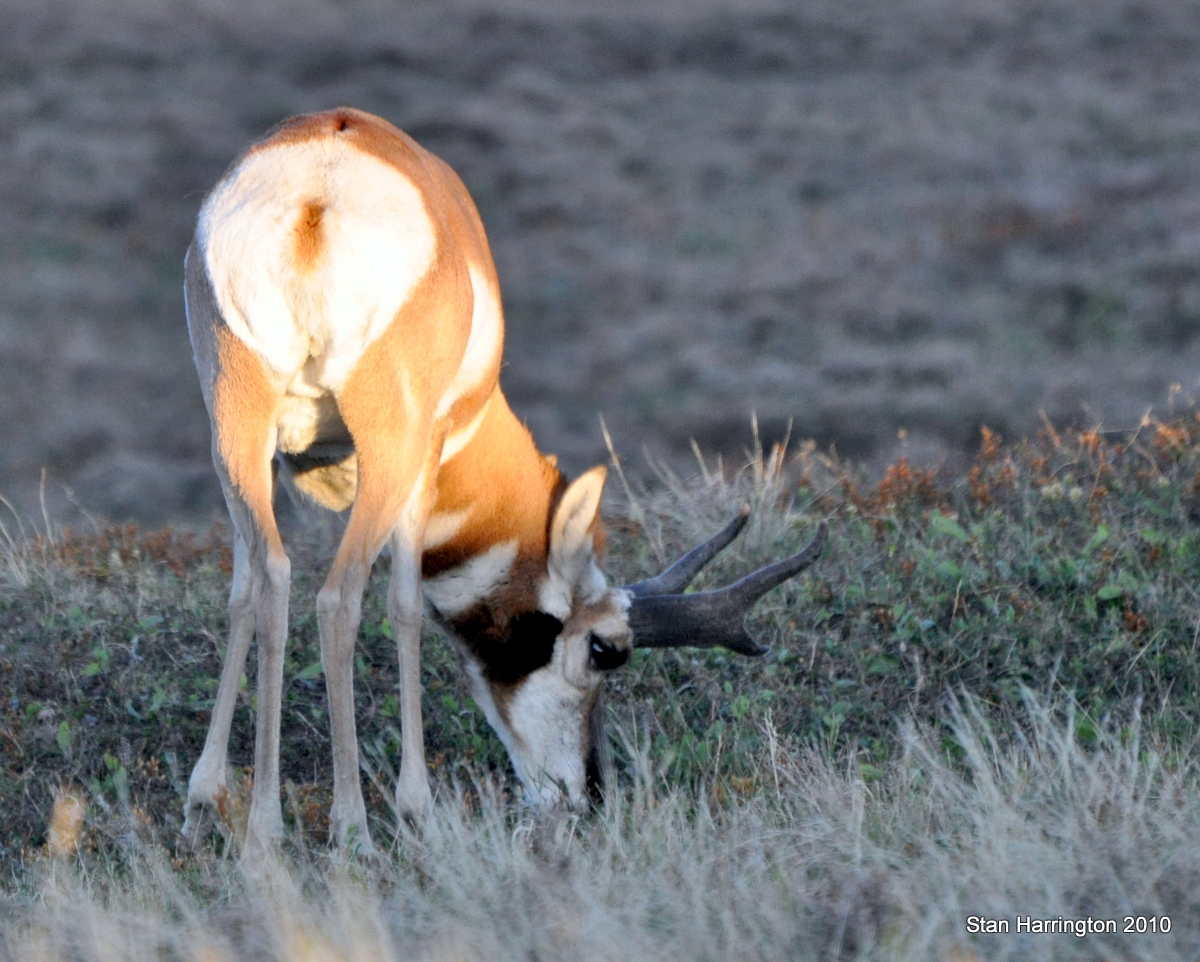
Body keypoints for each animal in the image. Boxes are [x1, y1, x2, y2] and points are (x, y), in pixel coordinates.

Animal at [182, 107, 826, 856]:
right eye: (605, 650)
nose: (586, 794)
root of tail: (317, 190)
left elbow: (241, 591)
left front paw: (203, 801)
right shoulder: (424, 460)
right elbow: (405, 604)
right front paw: (416, 808)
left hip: (237, 433)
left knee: (272, 579)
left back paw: (258, 829)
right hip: (385, 449)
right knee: (338, 598)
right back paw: (352, 830)